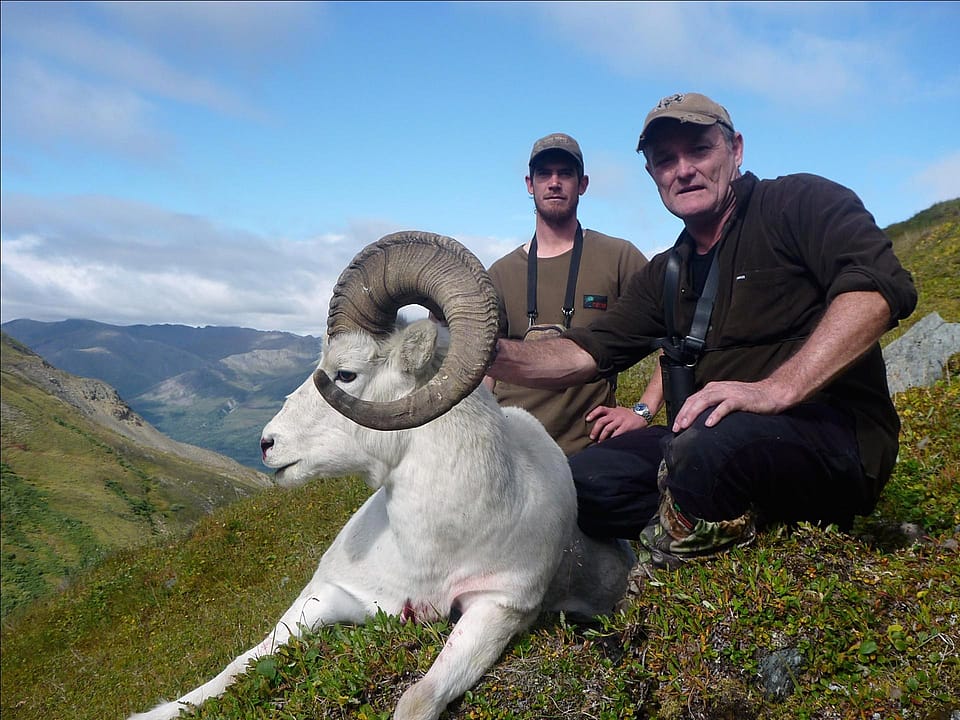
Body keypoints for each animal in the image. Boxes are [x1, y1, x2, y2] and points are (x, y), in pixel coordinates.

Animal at [128, 231, 634, 720]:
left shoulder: (497, 609)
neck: (431, 551)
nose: (267, 445)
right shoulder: (328, 594)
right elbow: (238, 666)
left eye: (345, 374)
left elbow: (418, 698)